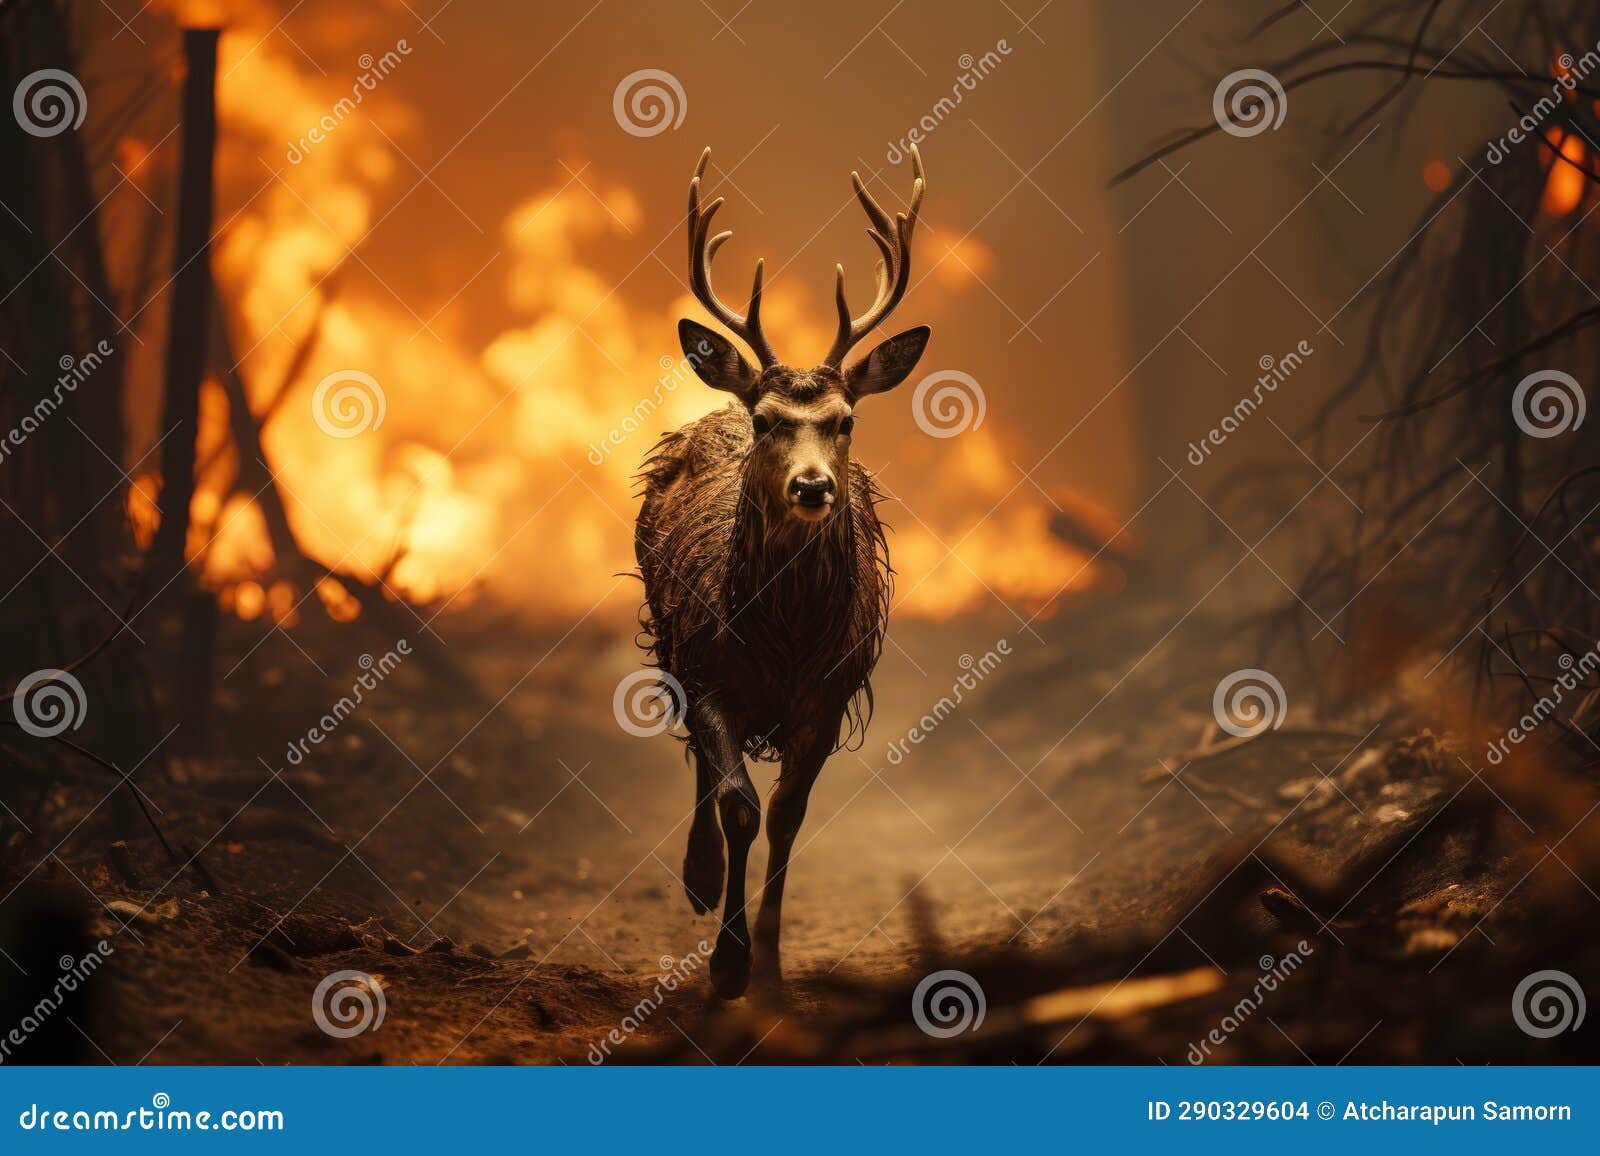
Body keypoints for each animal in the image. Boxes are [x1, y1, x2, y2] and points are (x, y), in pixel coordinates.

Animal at [634, 145, 929, 998]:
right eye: (768, 422)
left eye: (846, 420)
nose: (812, 486)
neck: (785, 633)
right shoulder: (711, 671)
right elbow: (738, 803)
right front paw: (728, 962)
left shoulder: (828, 694)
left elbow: (789, 814)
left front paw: (766, 956)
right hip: (674, 641)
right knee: (704, 767)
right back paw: (699, 877)